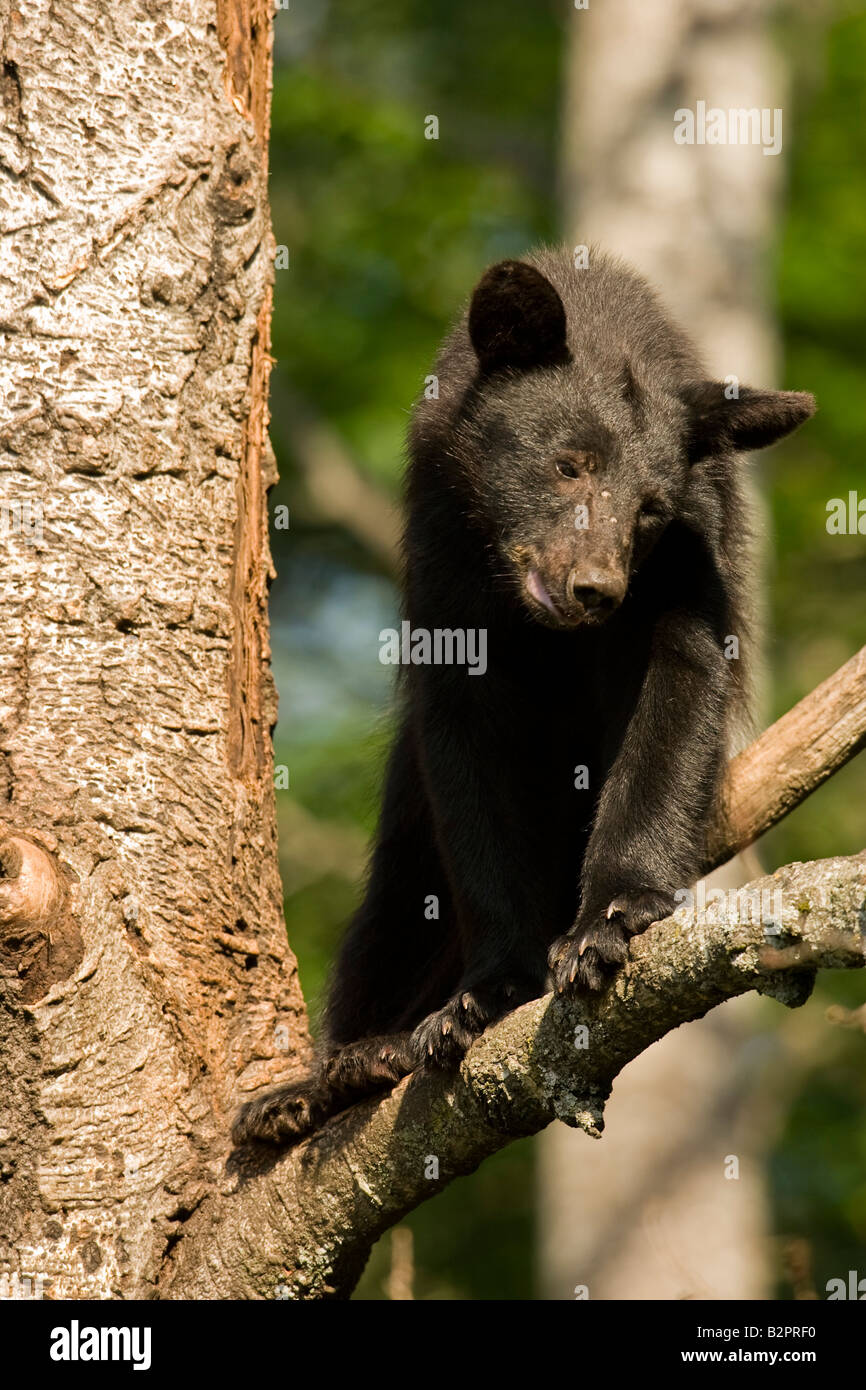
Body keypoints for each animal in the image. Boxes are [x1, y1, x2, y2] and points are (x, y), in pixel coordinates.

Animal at [234, 246, 815, 1146]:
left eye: (649, 509)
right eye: (568, 463)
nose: (595, 589)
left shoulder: (690, 552)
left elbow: (675, 693)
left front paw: (606, 924)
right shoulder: (442, 550)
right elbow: (468, 752)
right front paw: (477, 998)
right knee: (397, 889)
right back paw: (334, 1073)